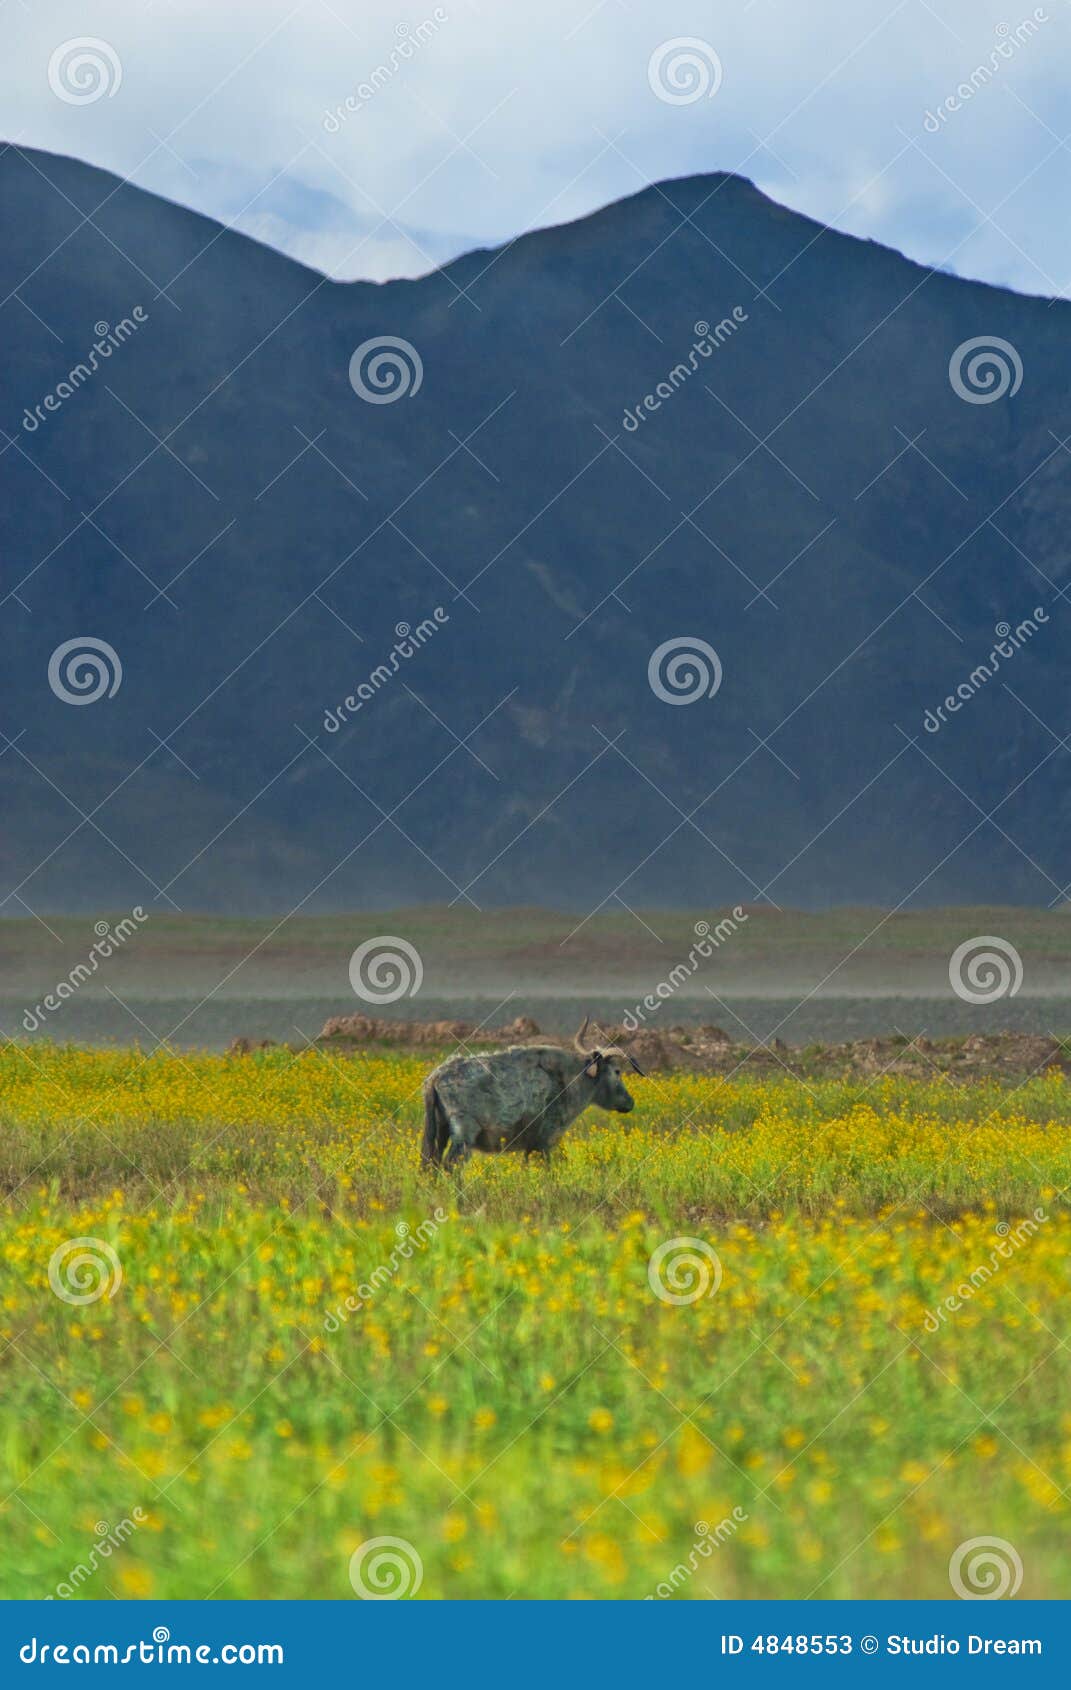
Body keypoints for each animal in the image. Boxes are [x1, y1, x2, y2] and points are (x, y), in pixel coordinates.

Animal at [421, 1017, 644, 1171]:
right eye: (617, 1071)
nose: (630, 1102)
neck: (567, 1077)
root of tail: (437, 1076)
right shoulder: (544, 1141)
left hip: (440, 1133)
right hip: (463, 1136)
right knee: (451, 1165)